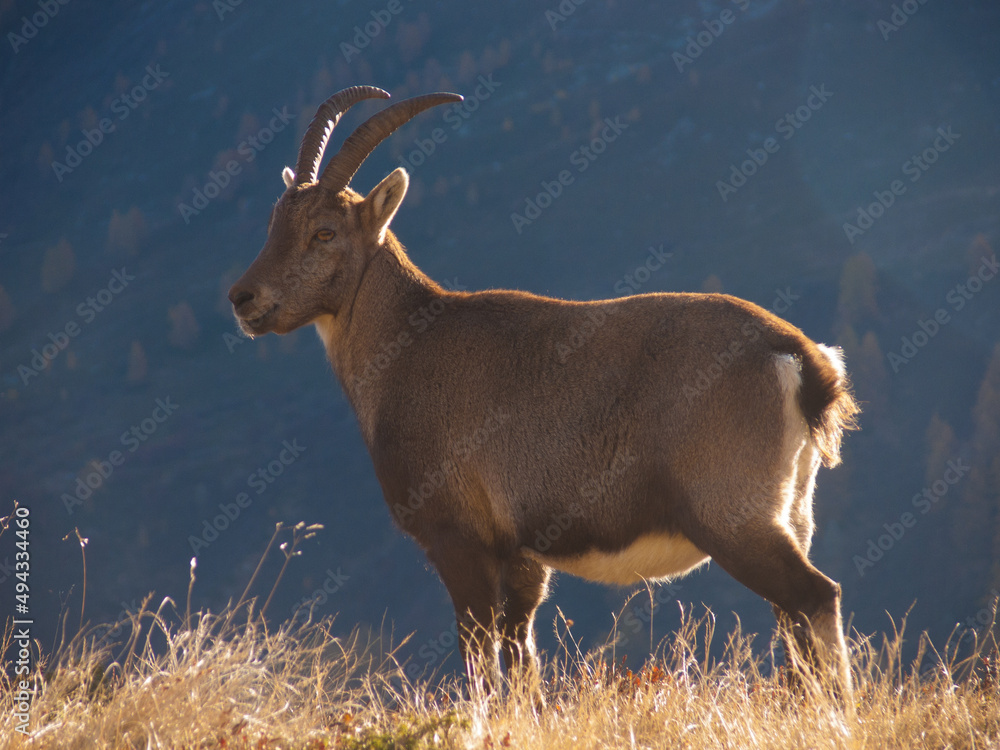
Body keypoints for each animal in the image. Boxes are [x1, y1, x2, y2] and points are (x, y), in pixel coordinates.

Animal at [228, 86, 859, 700]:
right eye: (272, 224)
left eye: (324, 232)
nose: (243, 298)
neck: (406, 348)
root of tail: (802, 360)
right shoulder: (523, 555)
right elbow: (522, 656)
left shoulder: (459, 538)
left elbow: (480, 658)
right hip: (793, 509)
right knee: (795, 619)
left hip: (732, 513)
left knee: (814, 596)